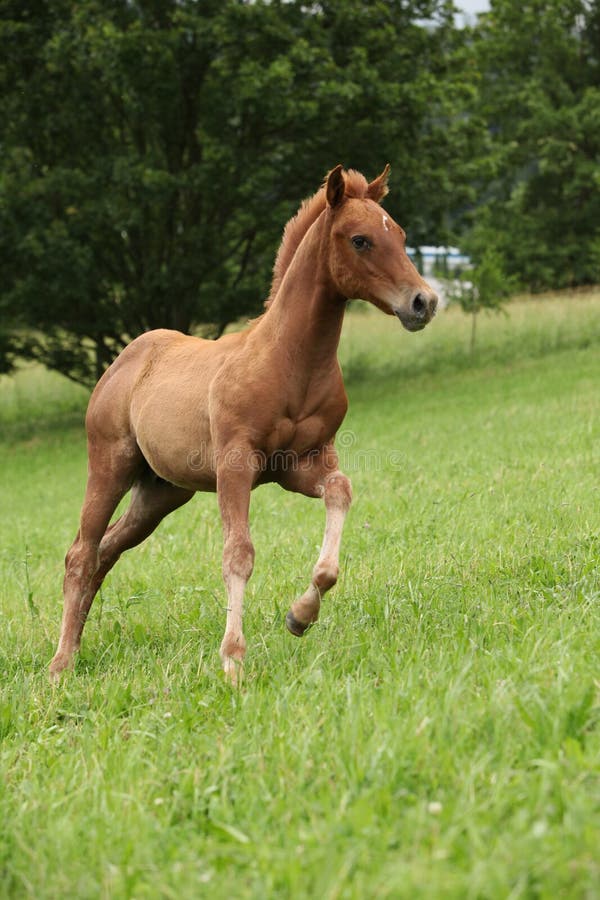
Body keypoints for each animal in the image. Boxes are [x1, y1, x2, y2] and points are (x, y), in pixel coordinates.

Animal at [49, 164, 438, 685]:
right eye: (360, 240)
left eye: (400, 234)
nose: (423, 302)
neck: (290, 361)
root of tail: (124, 361)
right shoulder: (236, 465)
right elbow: (238, 553)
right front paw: (233, 660)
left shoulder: (301, 464)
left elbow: (340, 493)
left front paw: (300, 616)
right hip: (110, 465)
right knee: (81, 553)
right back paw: (59, 665)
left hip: (161, 493)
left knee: (106, 551)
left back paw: (75, 645)